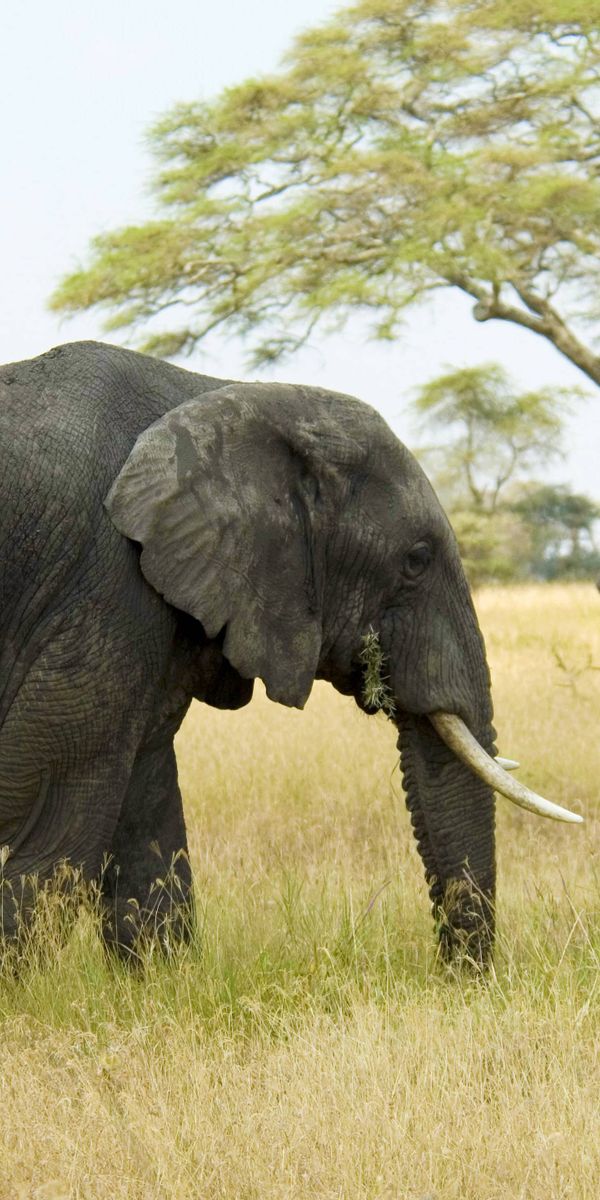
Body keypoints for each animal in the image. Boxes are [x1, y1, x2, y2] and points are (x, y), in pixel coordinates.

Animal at [0, 341, 581, 965]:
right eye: (416, 559)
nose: (458, 977)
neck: (221, 395)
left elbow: (146, 822)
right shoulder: (108, 587)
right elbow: (58, 832)